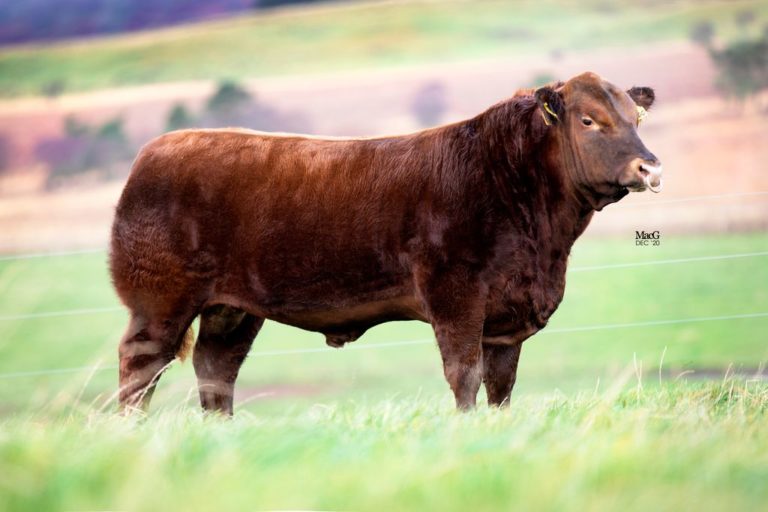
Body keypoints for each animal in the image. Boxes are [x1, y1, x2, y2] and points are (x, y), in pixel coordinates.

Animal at [110, 72, 662, 414]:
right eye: (589, 120)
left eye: (636, 118)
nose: (649, 166)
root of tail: (157, 150)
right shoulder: (456, 298)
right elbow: (464, 376)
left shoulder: (506, 321)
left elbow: (501, 387)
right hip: (160, 301)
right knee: (140, 368)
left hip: (232, 309)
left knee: (215, 372)